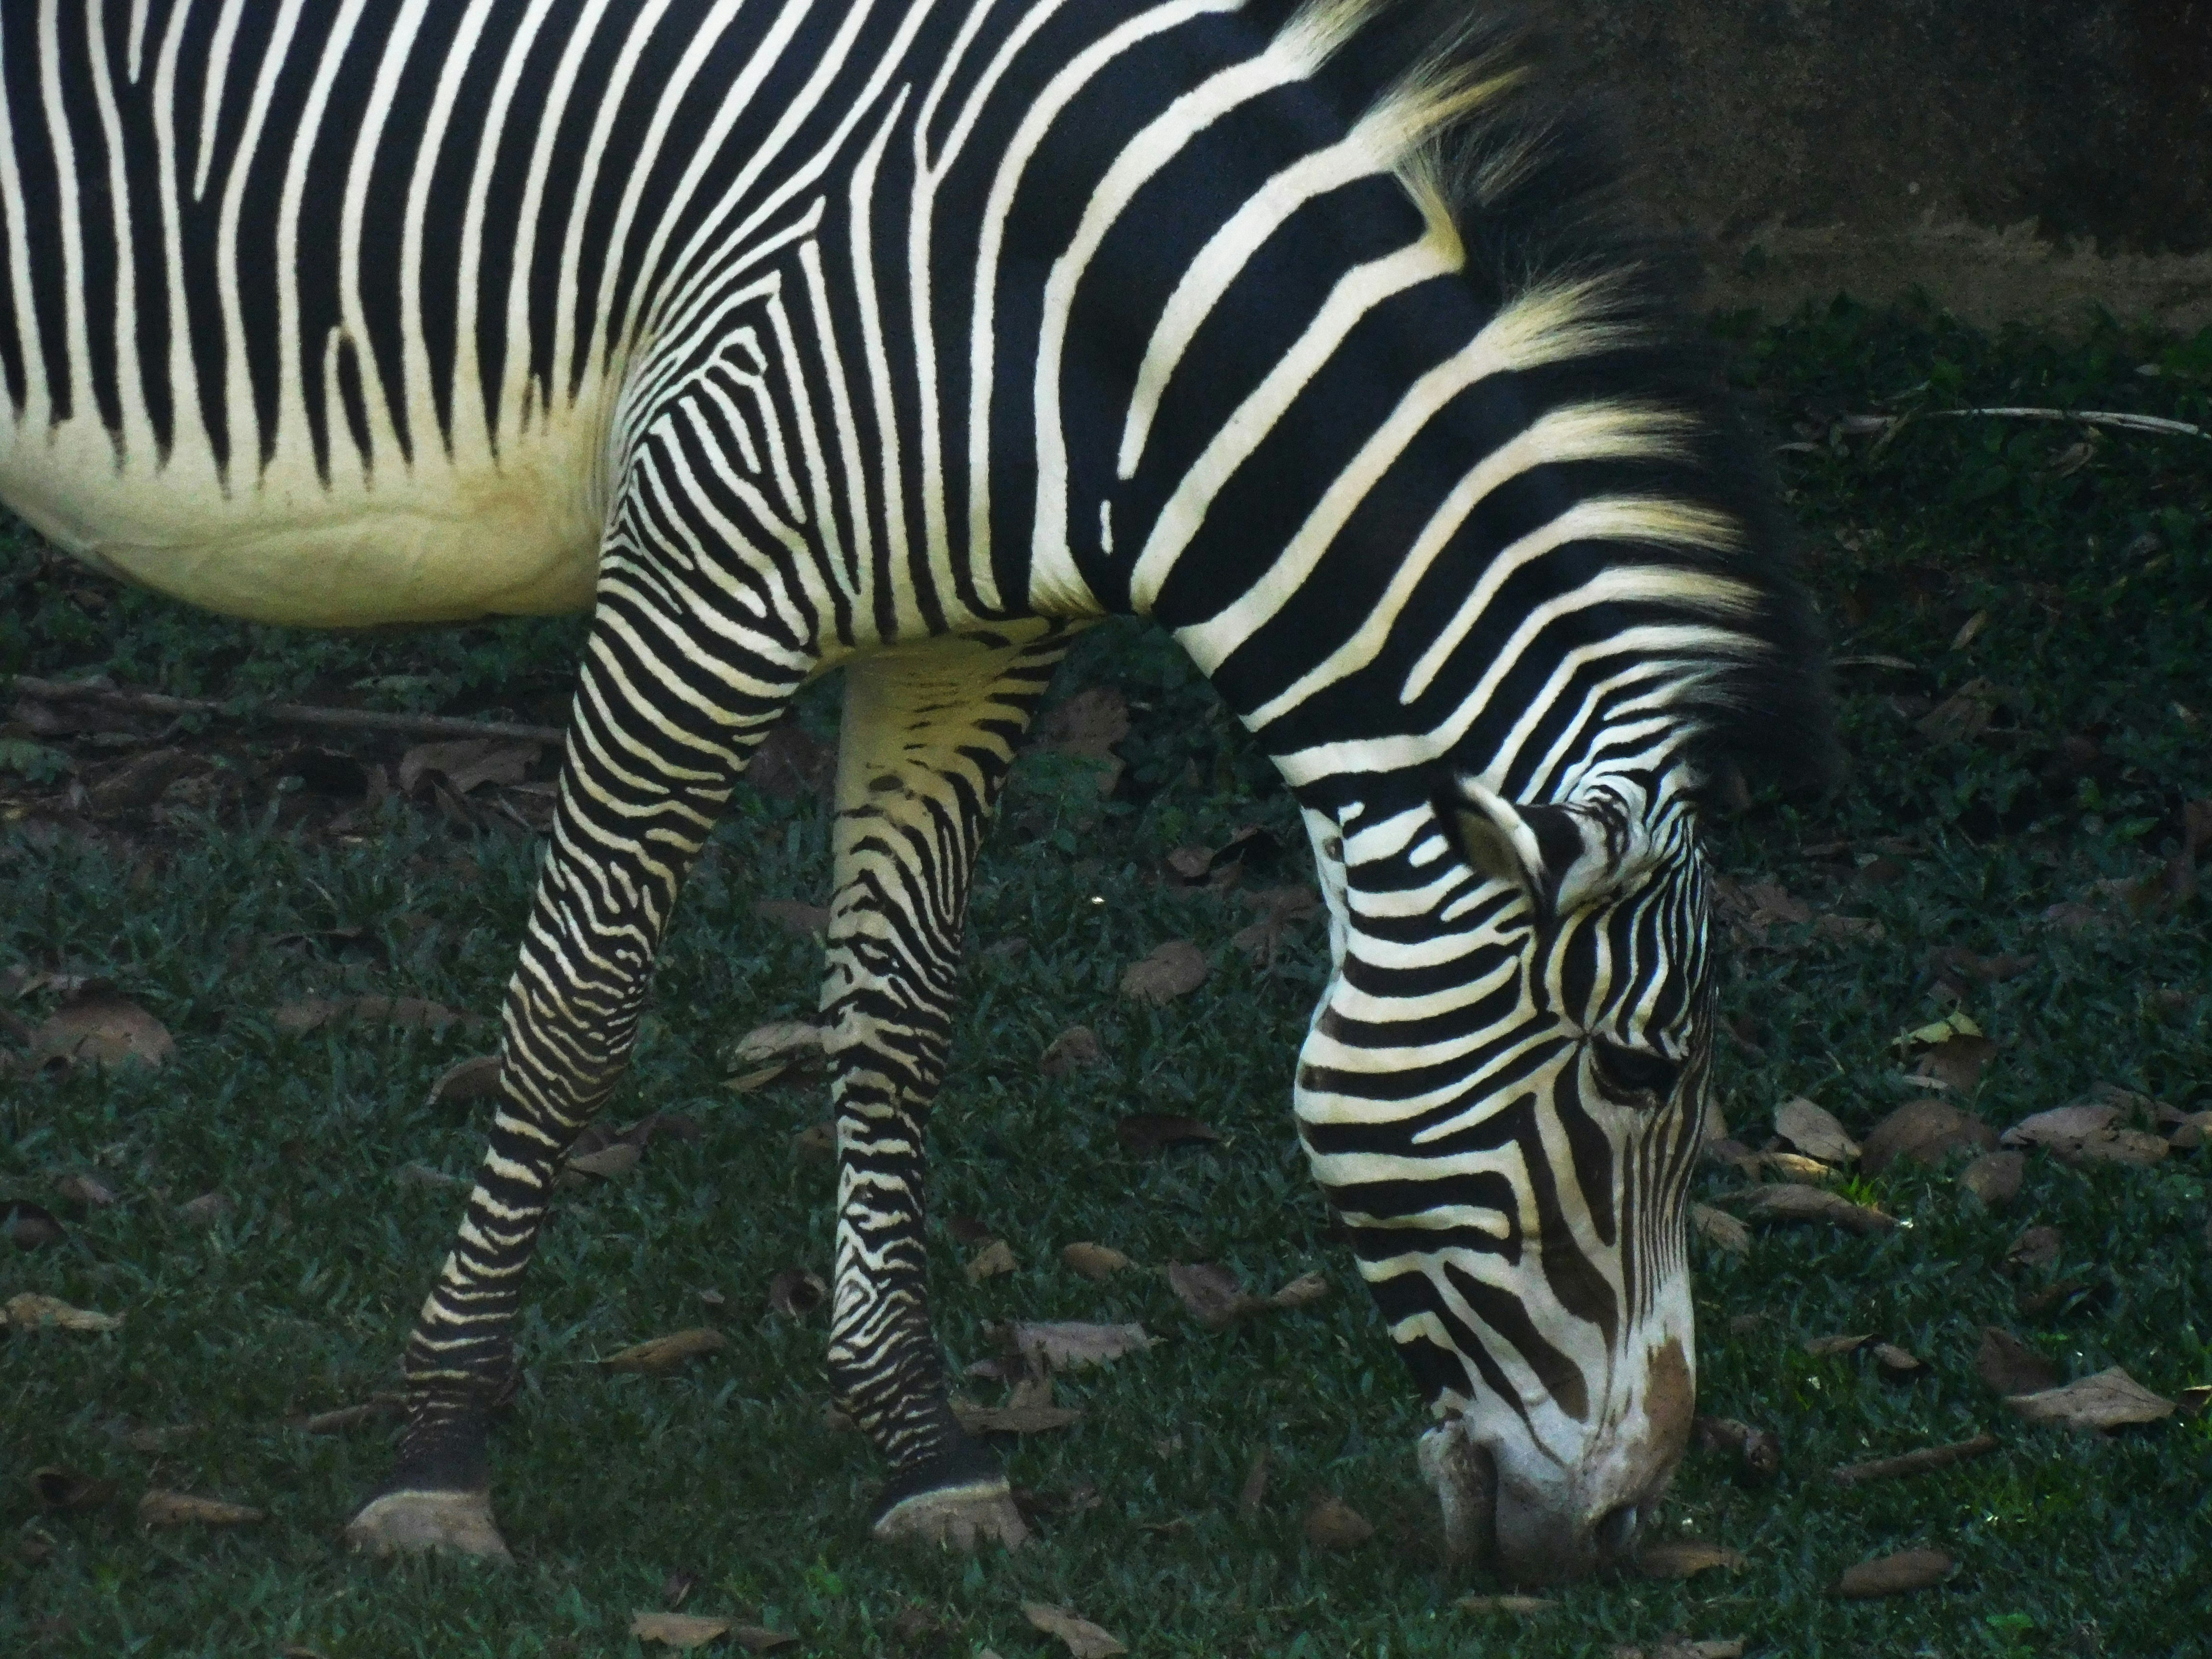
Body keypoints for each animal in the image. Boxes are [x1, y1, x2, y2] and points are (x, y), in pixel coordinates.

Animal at [0, 0, 1829, 1582]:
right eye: (1635, 1073)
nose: (1625, 1525)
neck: (1067, 302)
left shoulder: (971, 637)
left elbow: (898, 1020)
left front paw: (920, 1448)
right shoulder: (695, 591)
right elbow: (577, 1007)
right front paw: (439, 1452)